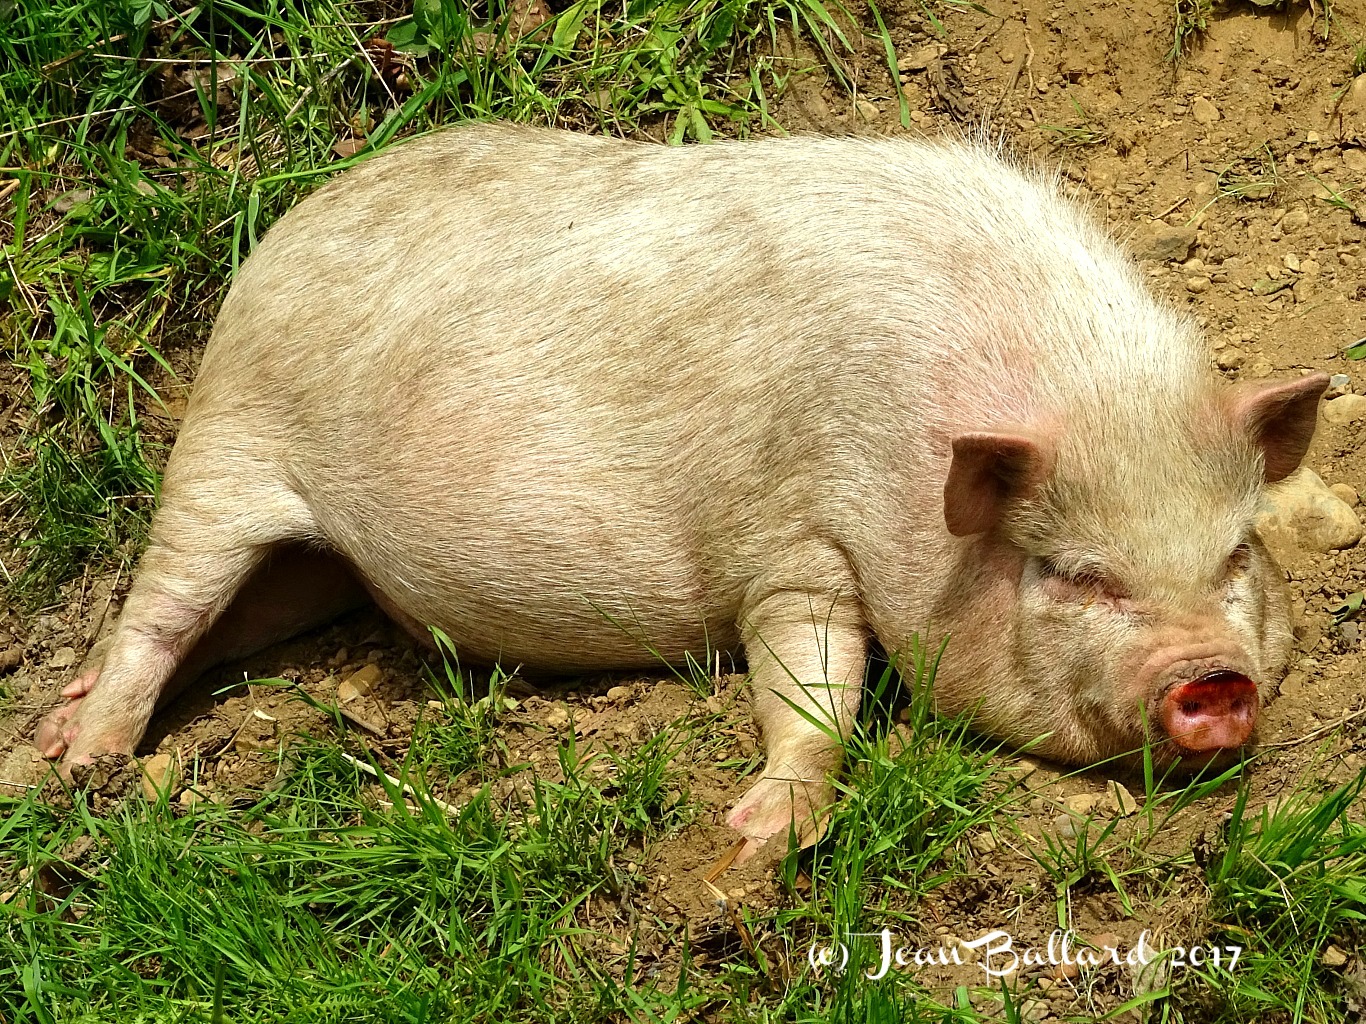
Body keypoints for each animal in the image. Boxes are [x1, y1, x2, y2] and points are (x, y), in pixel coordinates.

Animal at [36, 125, 1327, 855]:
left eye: (1233, 553)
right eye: (1074, 573)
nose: (1210, 679)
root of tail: (287, 219)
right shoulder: (792, 531)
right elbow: (812, 676)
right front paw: (761, 838)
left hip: (320, 566)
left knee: (237, 618)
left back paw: (64, 723)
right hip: (227, 447)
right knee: (164, 604)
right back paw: (79, 758)